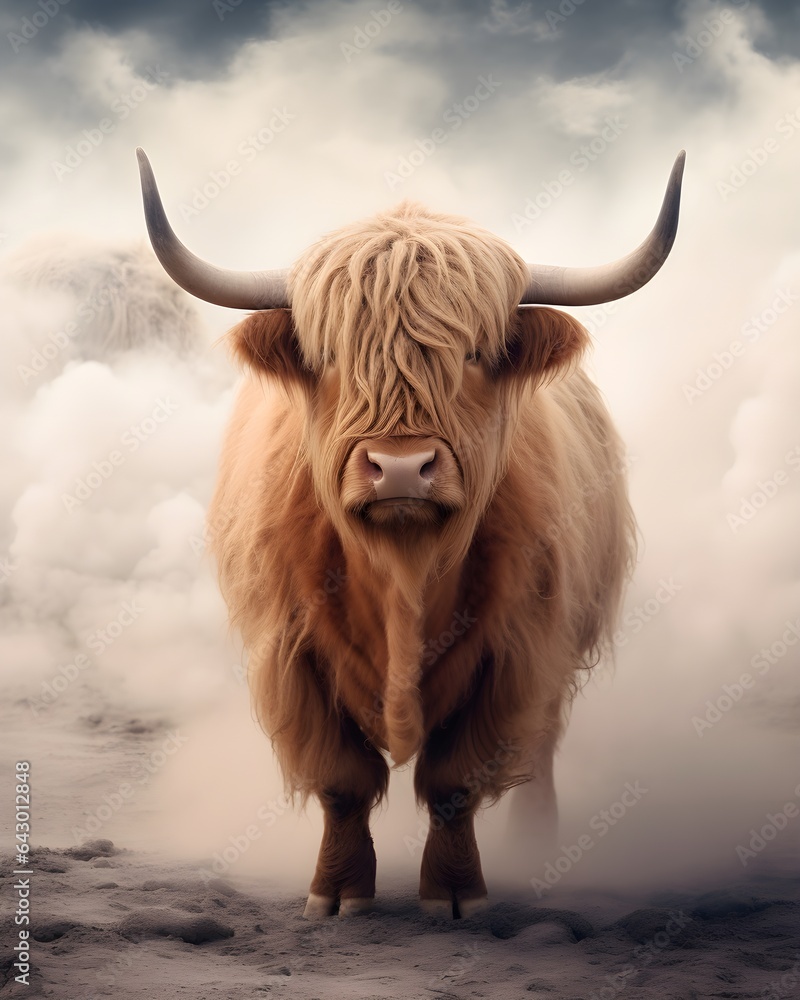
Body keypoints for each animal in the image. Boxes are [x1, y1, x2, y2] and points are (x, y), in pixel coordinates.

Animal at [137, 147, 684, 919]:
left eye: (476, 354)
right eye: (332, 356)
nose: (400, 467)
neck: (402, 570)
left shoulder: (517, 649)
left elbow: (457, 778)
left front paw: (456, 893)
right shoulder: (293, 651)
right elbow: (342, 781)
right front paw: (336, 893)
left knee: (540, 748)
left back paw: (537, 849)